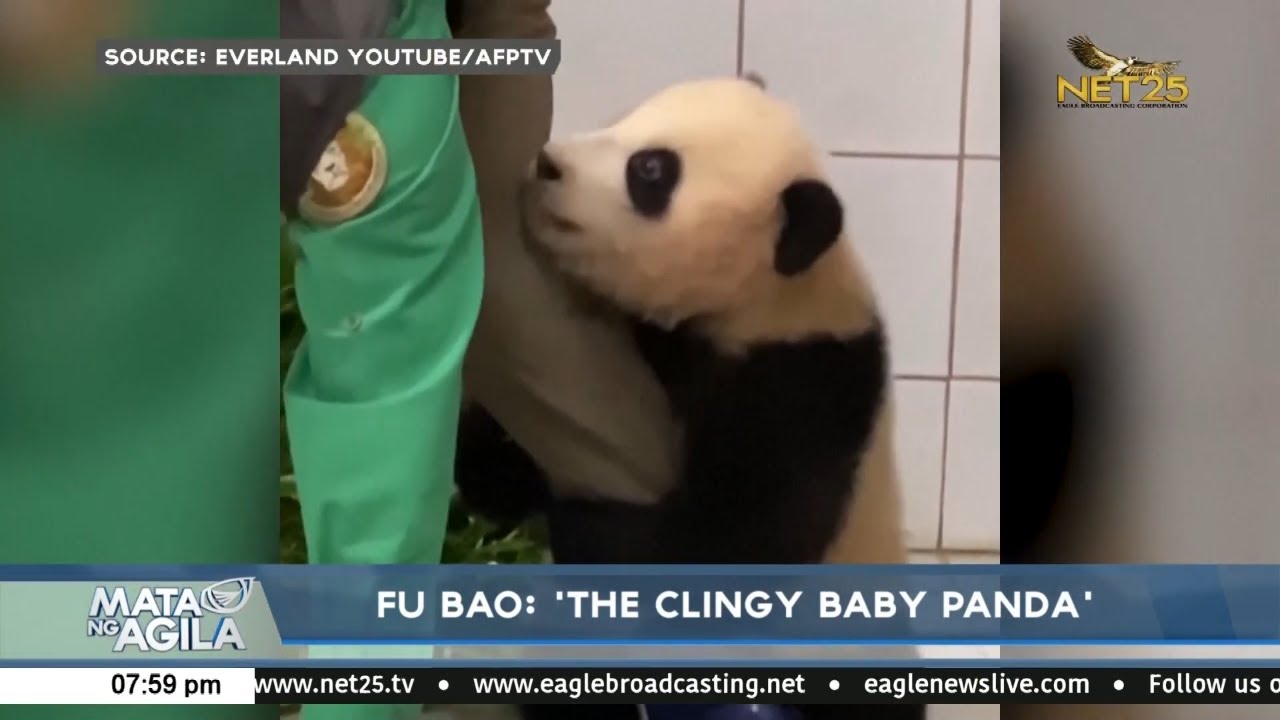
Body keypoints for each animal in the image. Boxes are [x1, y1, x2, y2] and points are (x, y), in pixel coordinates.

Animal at [456, 75, 925, 720]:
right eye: (623, 116)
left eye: (651, 171)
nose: (549, 163)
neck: (766, 301)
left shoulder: (804, 387)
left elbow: (732, 554)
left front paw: (587, 523)